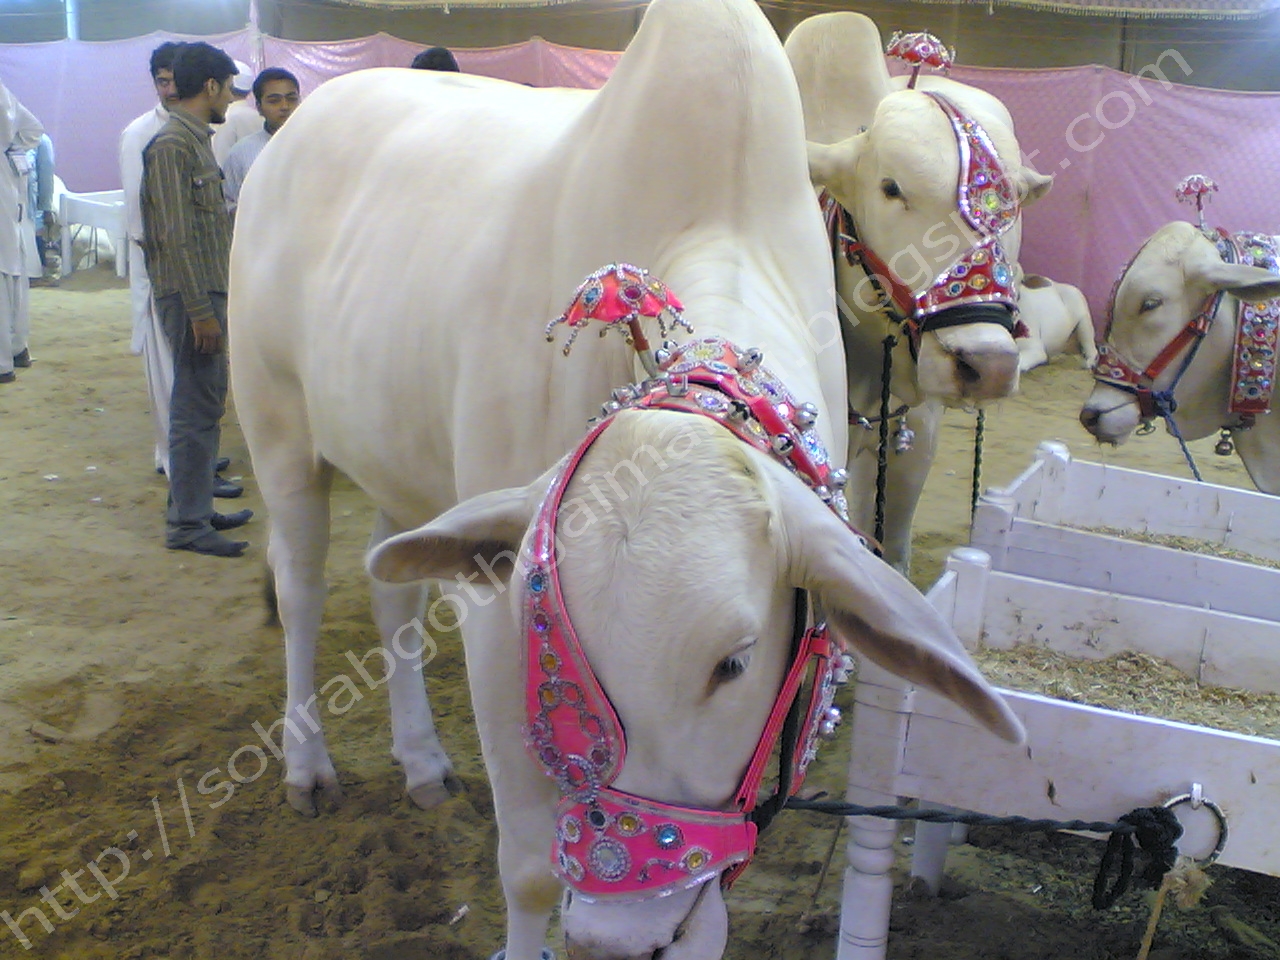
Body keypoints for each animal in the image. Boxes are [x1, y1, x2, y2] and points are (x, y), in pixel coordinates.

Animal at [229, 1, 1024, 957]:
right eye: (893, 188)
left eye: (734, 662)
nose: (618, 932)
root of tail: (298, 124)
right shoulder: (494, 611)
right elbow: (531, 870)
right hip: (276, 426)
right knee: (301, 586)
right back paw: (307, 764)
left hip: (399, 459)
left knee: (392, 588)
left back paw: (420, 759)